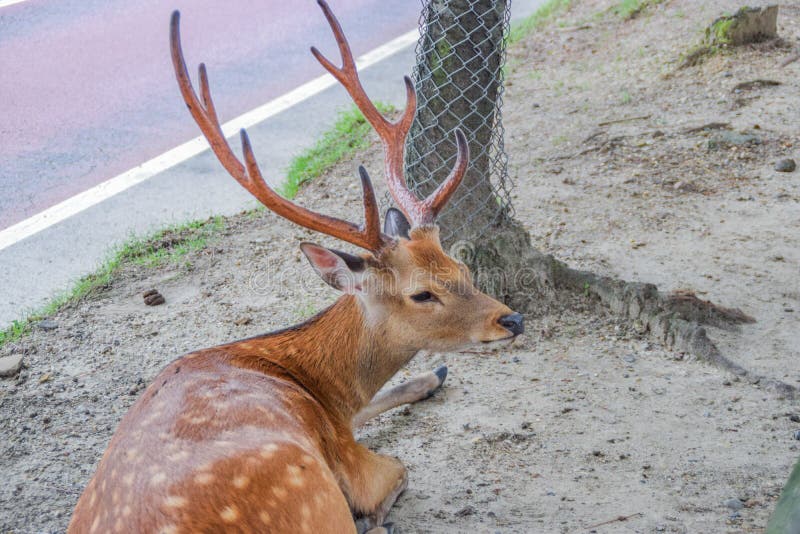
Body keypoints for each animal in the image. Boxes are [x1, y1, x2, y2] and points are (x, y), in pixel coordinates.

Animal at [67, 2, 524, 533]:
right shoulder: (353, 459)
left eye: (463, 269)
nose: (512, 319)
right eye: (422, 294)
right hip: (304, 493)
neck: (307, 380)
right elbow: (396, 468)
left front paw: (433, 375)